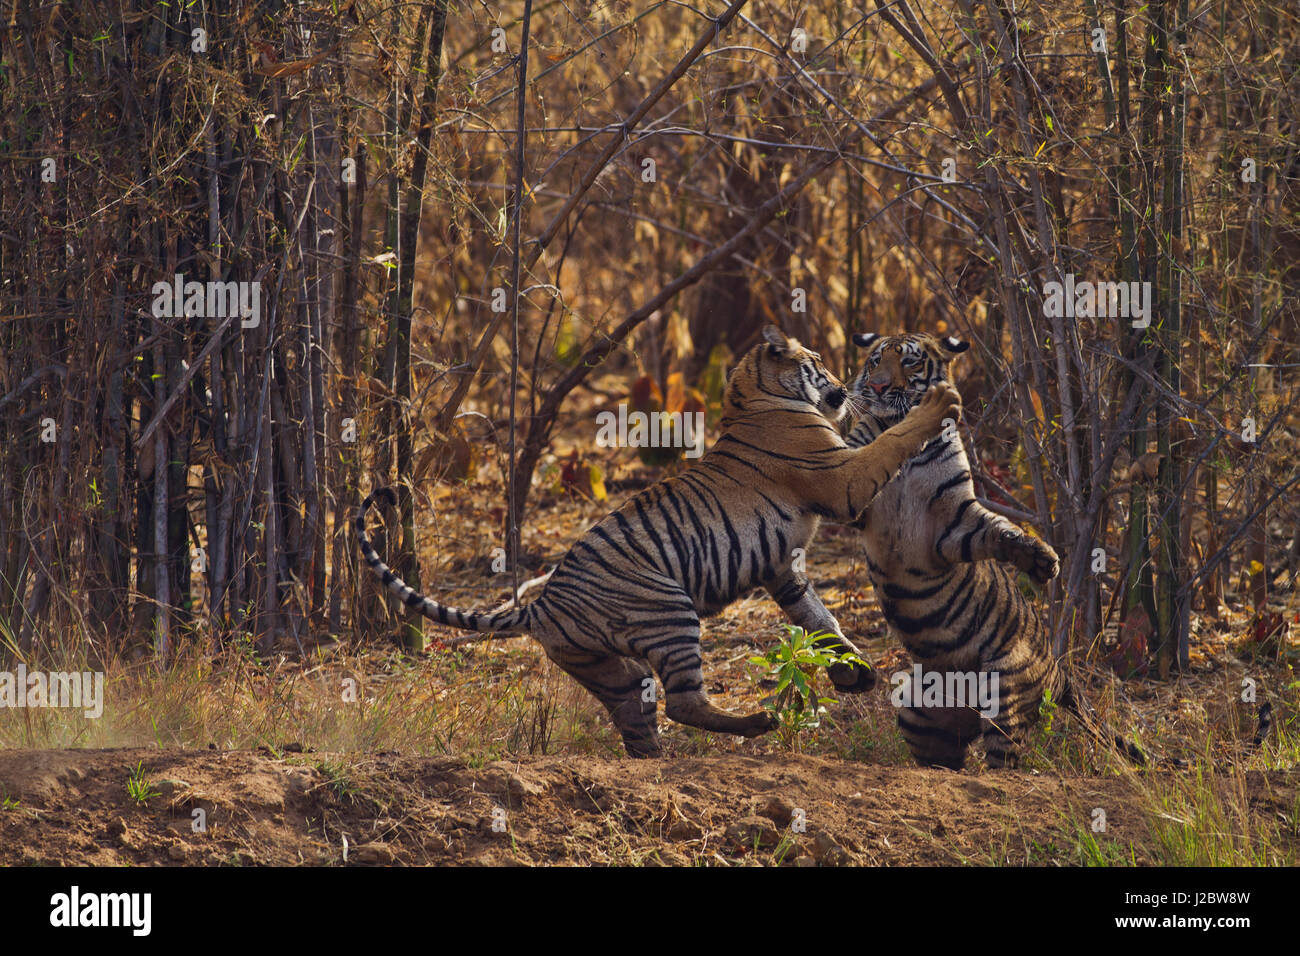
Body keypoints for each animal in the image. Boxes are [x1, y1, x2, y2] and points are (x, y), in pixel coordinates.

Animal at [357, 325, 963, 758]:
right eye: (819, 362)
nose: (852, 386)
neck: (750, 393)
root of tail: (541, 606)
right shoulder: (842, 479)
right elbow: (891, 441)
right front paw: (938, 402)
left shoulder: (781, 568)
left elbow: (819, 617)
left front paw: (852, 671)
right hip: (669, 609)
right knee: (685, 702)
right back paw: (756, 722)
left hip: (604, 666)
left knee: (636, 707)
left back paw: (654, 761)